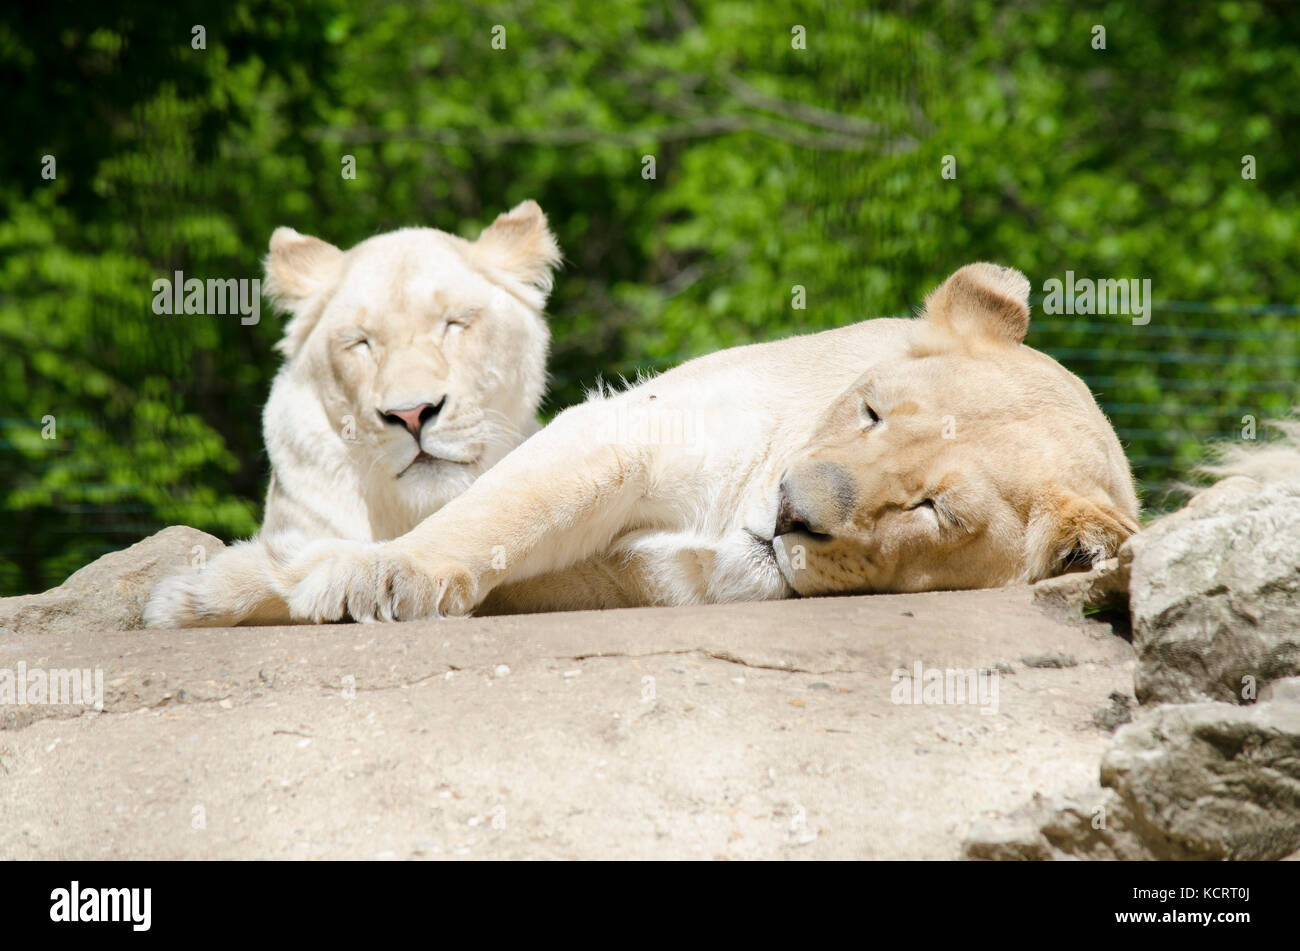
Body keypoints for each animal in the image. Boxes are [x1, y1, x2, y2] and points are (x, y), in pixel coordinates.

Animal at [276, 262, 1140, 624]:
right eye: (871, 411)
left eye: (932, 510)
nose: (792, 510)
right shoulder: (626, 429)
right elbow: (505, 509)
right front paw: (379, 575)